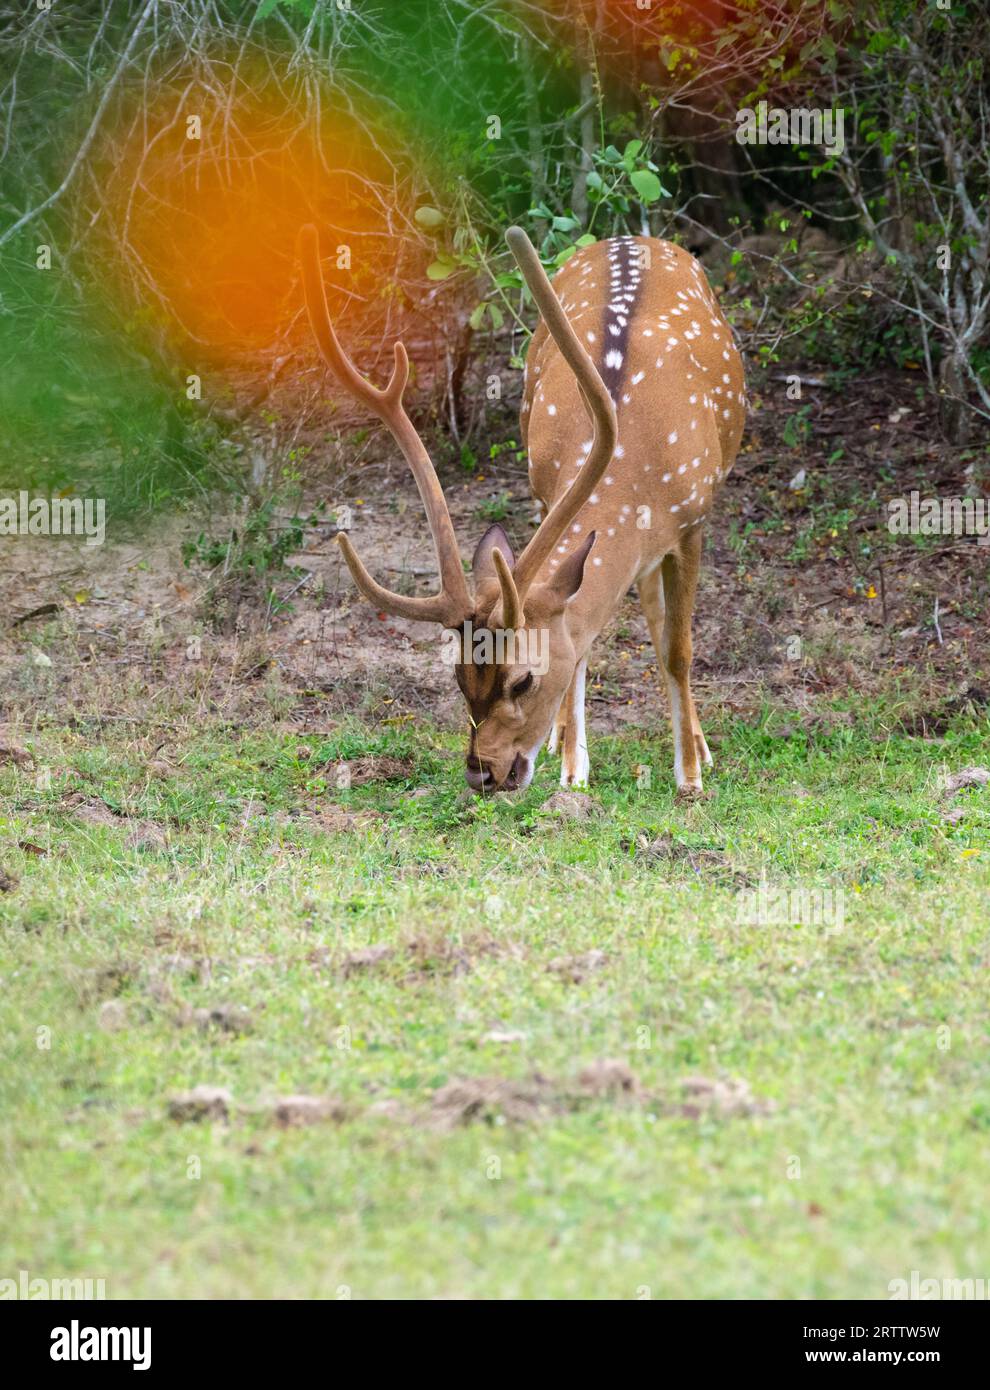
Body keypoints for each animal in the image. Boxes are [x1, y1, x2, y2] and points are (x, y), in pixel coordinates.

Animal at [297, 222, 745, 798]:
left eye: (523, 678)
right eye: (458, 675)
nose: (483, 772)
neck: (636, 469)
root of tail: (629, 236)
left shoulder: (693, 519)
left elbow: (677, 649)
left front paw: (688, 776)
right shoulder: (545, 494)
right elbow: (579, 640)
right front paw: (574, 770)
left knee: (657, 616)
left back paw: (699, 746)